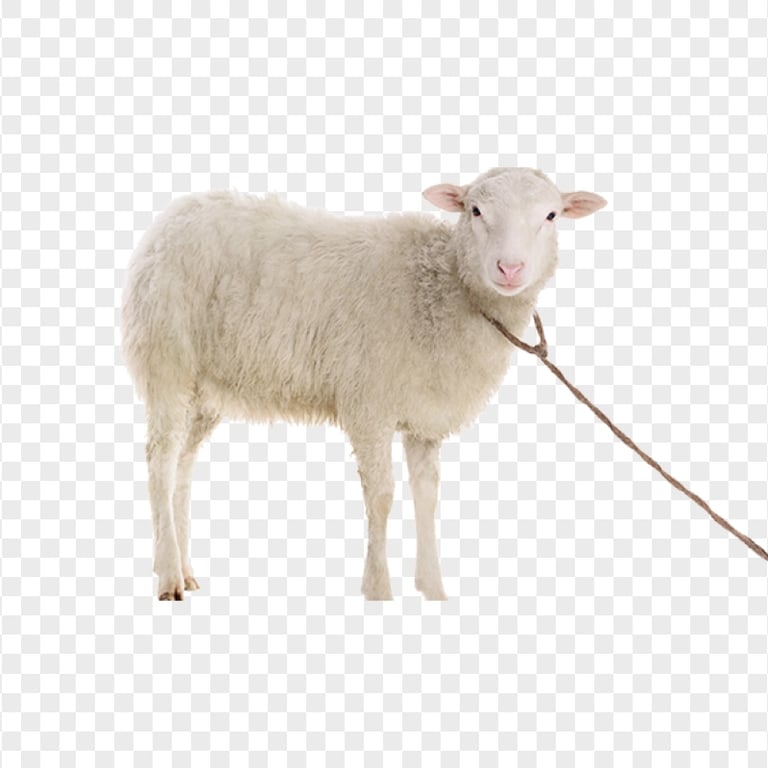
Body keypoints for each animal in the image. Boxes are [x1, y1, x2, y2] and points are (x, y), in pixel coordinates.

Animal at [121, 168, 606, 601]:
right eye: (475, 210)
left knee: (183, 466)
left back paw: (184, 569)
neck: (442, 286)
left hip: (207, 386)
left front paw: (433, 590)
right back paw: (168, 577)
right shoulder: (369, 403)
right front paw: (379, 590)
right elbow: (383, 497)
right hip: (167, 357)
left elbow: (426, 497)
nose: (510, 269)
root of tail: (174, 216)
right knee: (160, 462)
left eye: (551, 215)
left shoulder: (425, 418)